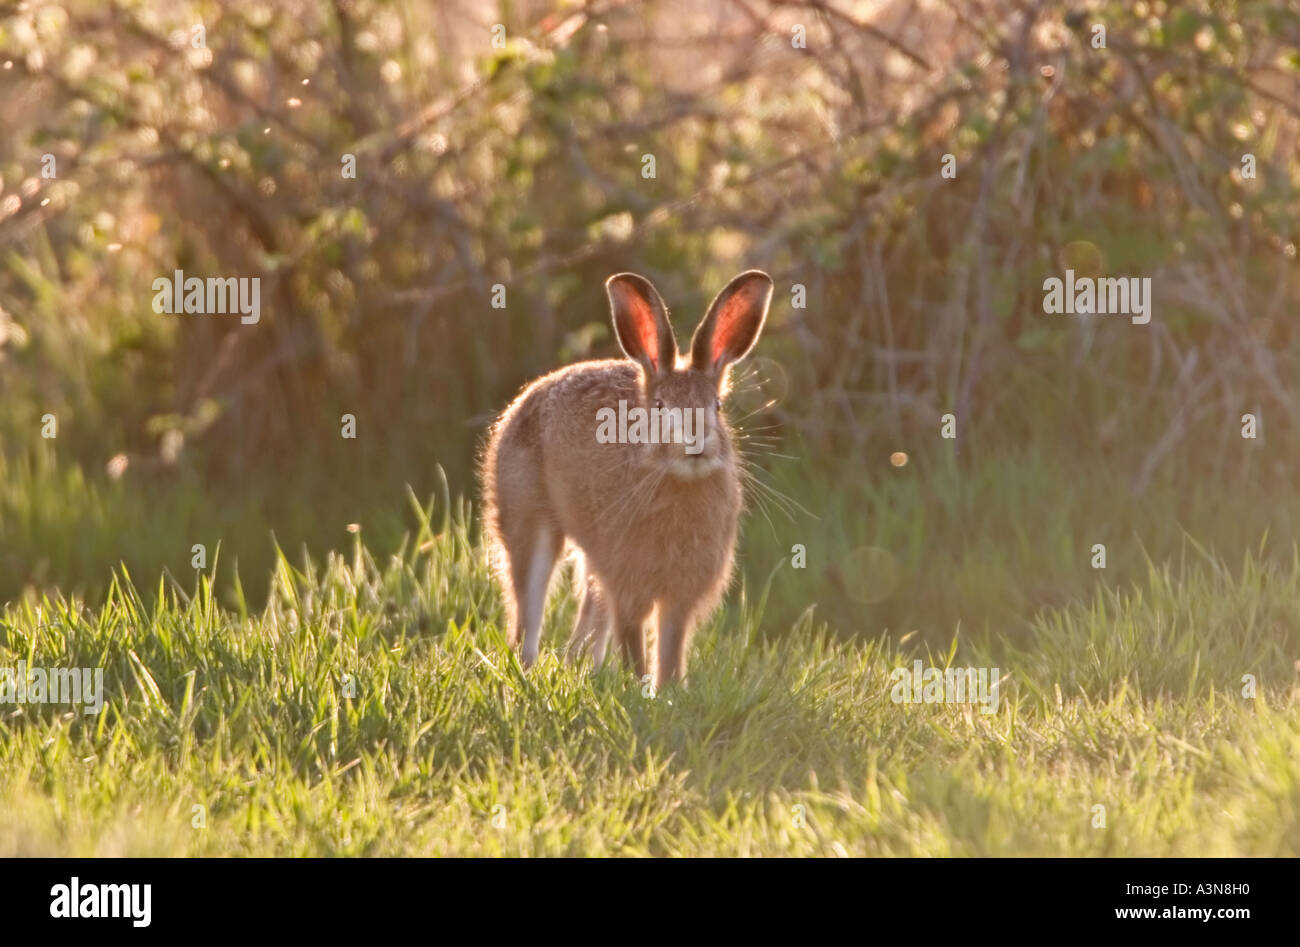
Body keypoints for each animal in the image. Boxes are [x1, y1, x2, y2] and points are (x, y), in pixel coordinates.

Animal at [480, 270, 773, 687]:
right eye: (661, 407)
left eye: (716, 407)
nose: (695, 442)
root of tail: (524, 399)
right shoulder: (628, 585)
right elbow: (634, 639)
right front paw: (640, 686)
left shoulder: (679, 594)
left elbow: (671, 645)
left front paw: (668, 689)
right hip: (526, 520)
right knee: (528, 604)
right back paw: (526, 669)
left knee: (589, 608)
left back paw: (578, 666)